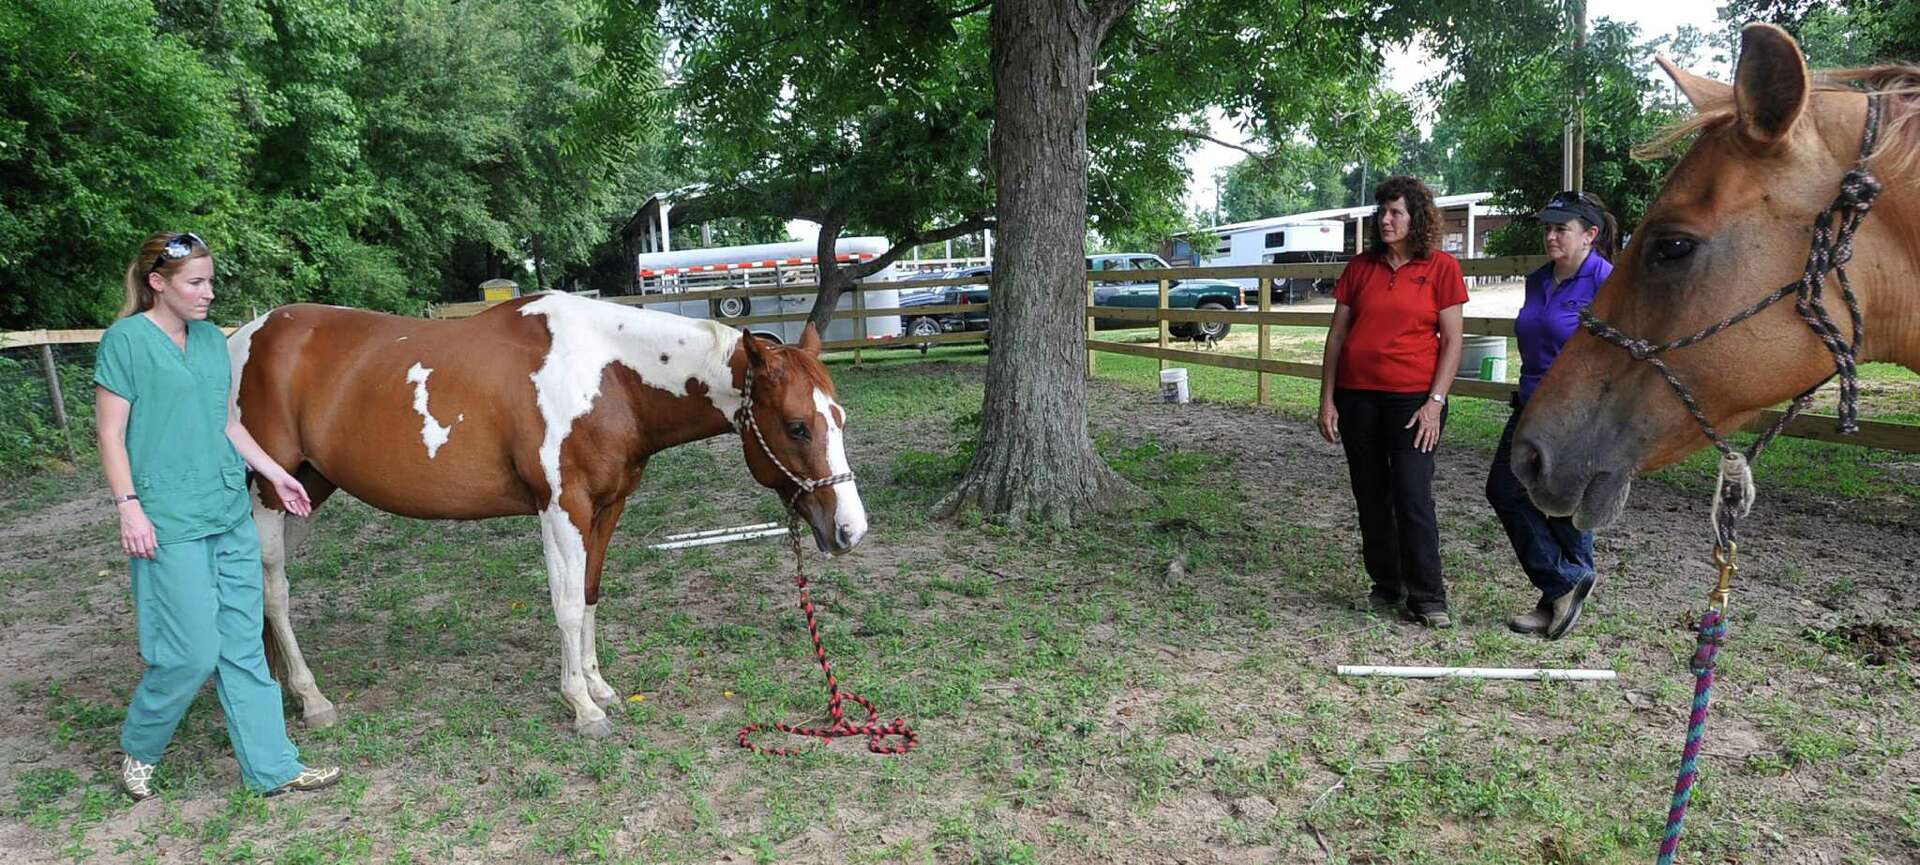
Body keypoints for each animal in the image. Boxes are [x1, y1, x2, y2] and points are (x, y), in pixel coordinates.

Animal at [226, 292, 867, 737]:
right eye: (797, 426)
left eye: (839, 417)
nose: (849, 530)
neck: (608, 375)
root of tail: (241, 336)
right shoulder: (563, 509)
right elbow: (565, 605)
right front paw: (581, 707)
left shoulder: (608, 506)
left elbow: (588, 594)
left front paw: (598, 687)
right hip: (266, 496)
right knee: (274, 593)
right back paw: (312, 699)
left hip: (305, 492)